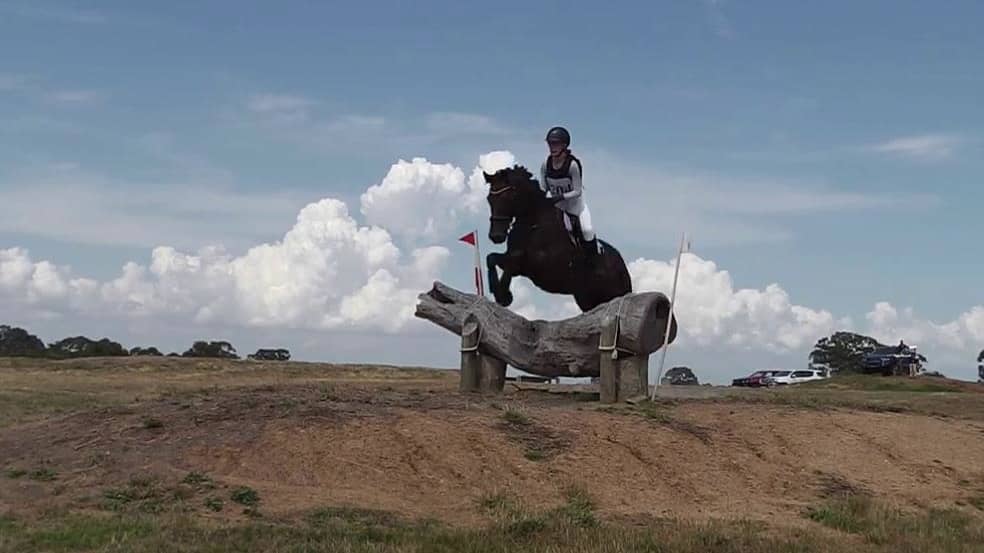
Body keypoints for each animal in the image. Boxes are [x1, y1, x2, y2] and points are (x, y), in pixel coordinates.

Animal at [483, 165, 632, 312]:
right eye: (489, 199)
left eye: (508, 197)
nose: (496, 236)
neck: (533, 222)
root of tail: (622, 265)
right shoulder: (520, 264)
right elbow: (492, 258)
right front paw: (500, 294)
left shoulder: (543, 264)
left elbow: (513, 259)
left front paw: (504, 295)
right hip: (586, 299)